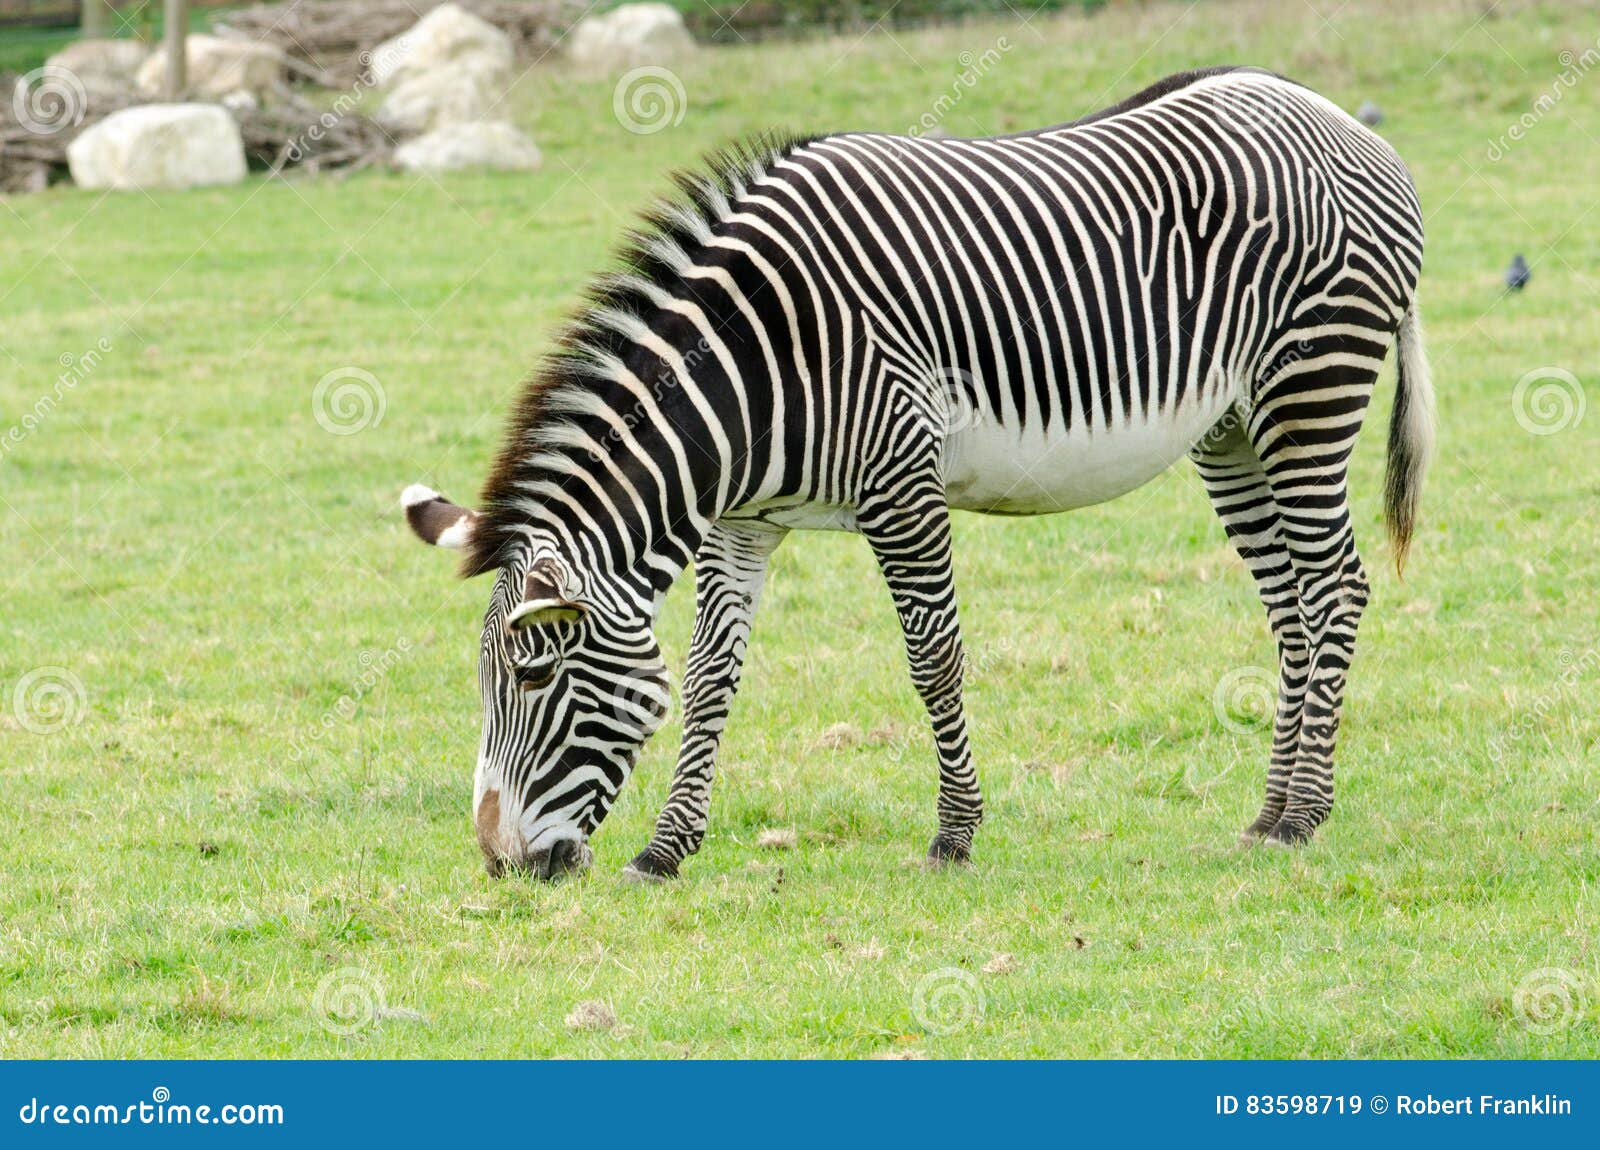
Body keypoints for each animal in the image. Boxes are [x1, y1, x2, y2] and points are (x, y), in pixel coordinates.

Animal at [402, 65, 1433, 881]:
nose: (501, 865)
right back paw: (1270, 812)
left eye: (534, 677)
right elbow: (708, 674)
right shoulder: (743, 522)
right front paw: (666, 849)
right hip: (1233, 431)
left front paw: (956, 834)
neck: (758, 366)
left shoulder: (903, 486)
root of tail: (1339, 119)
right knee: (1290, 604)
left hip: (1312, 389)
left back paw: (1303, 816)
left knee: (1334, 588)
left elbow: (933, 658)